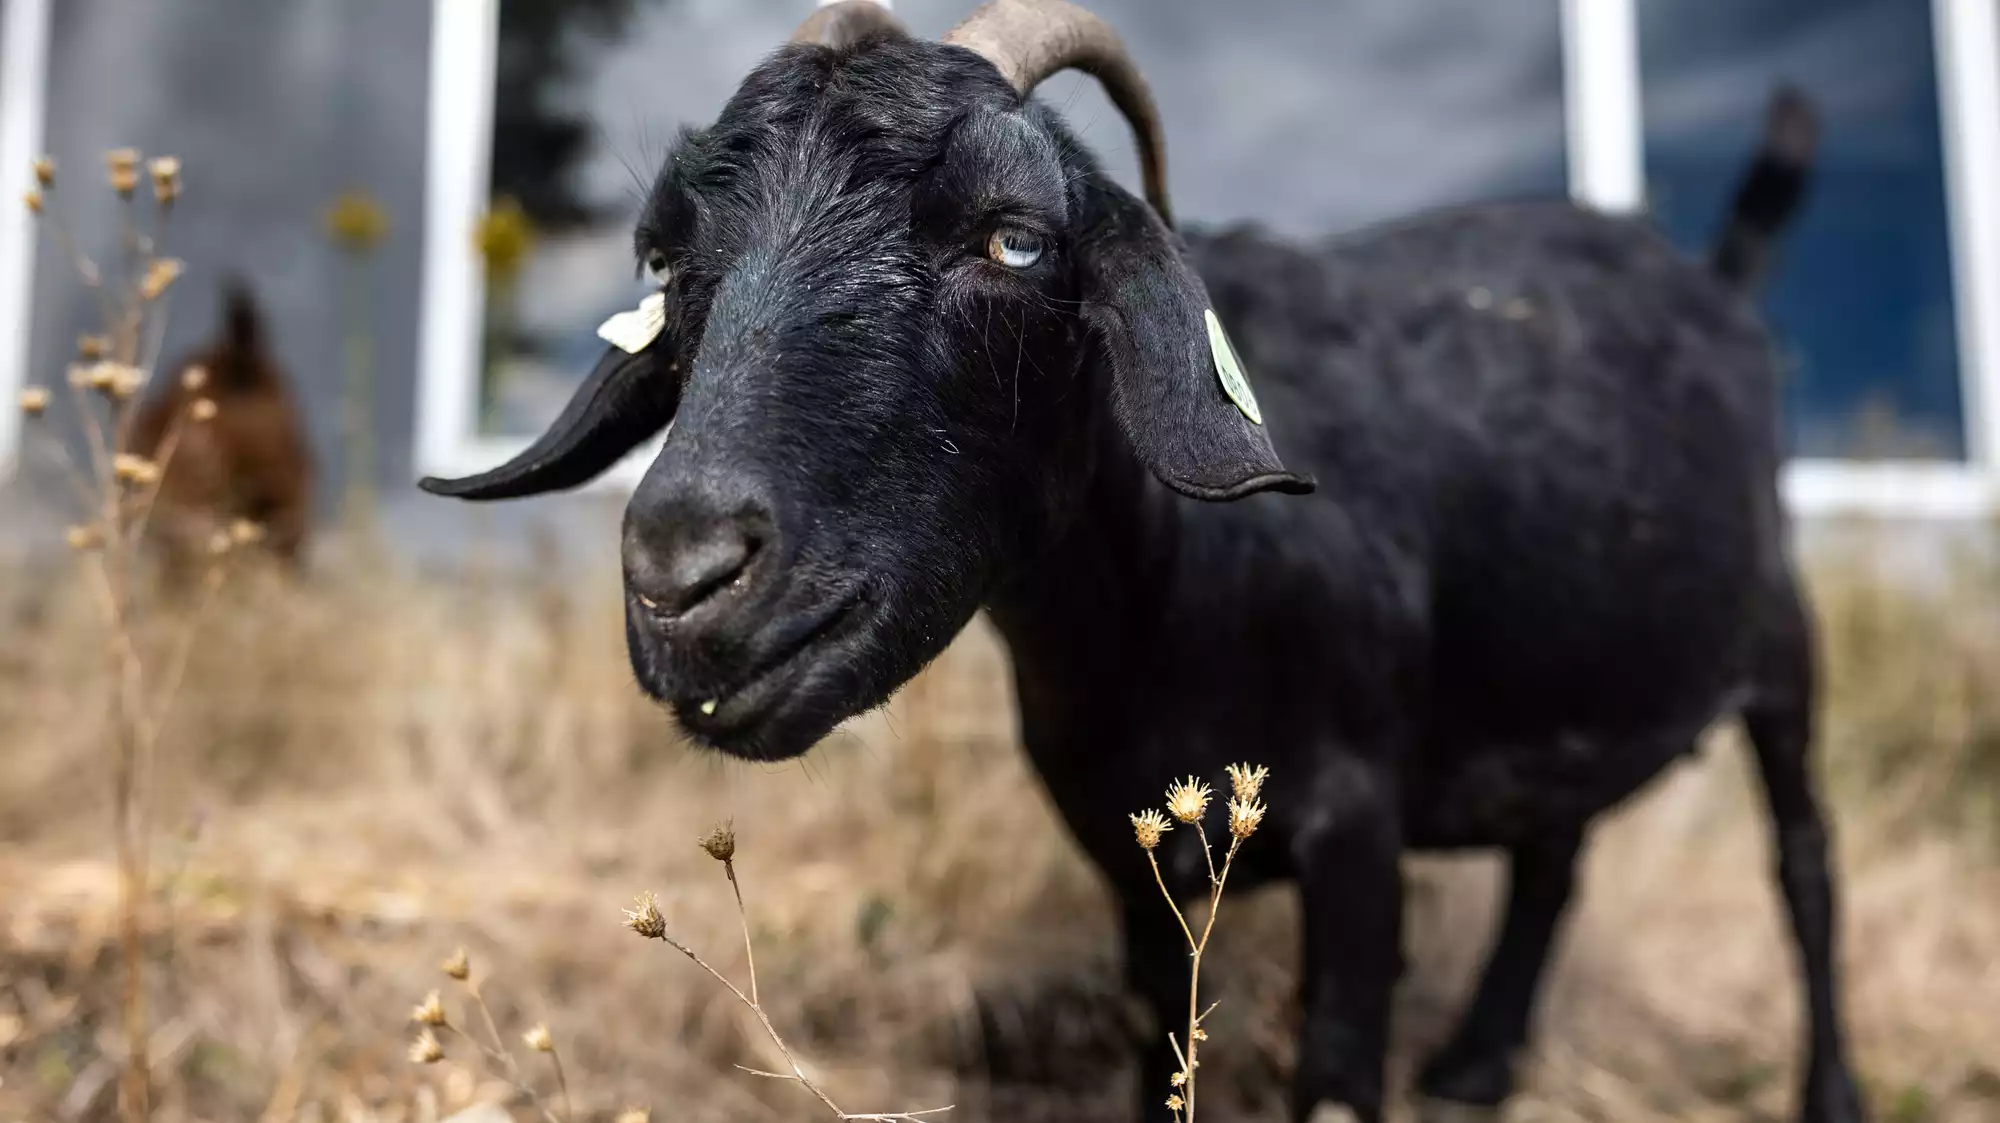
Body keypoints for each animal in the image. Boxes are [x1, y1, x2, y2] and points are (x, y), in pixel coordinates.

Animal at [420, 6, 1857, 1121]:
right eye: (666, 258)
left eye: (1013, 237)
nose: (683, 575)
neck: (1163, 610)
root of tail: (1713, 277)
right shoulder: (1128, 846)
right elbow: (1160, 1042)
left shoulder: (1356, 818)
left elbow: (1337, 1066)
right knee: (1556, 846)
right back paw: (1478, 1065)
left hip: (1782, 637)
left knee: (1801, 862)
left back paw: (1825, 1088)